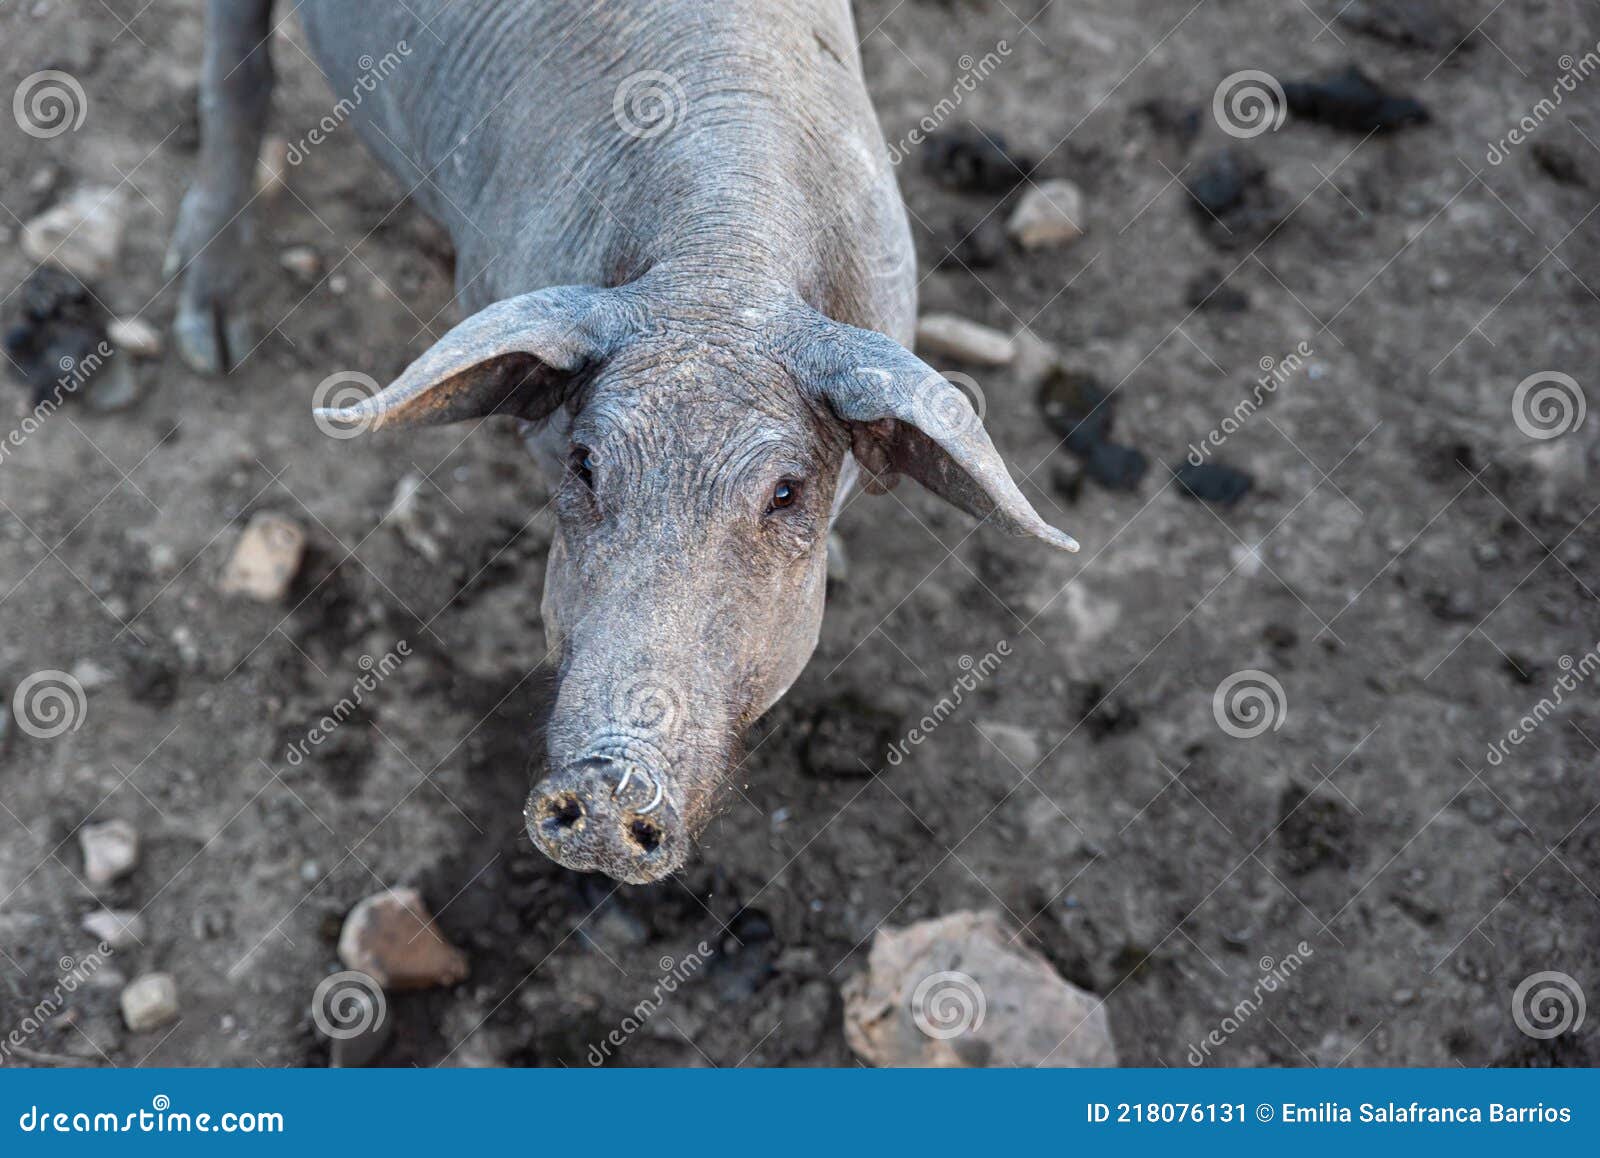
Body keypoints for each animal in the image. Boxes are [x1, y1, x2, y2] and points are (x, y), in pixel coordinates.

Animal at [171, 0, 1077, 884]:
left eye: (785, 492)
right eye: (585, 465)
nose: (611, 785)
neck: (721, 272)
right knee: (235, 78)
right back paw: (209, 341)